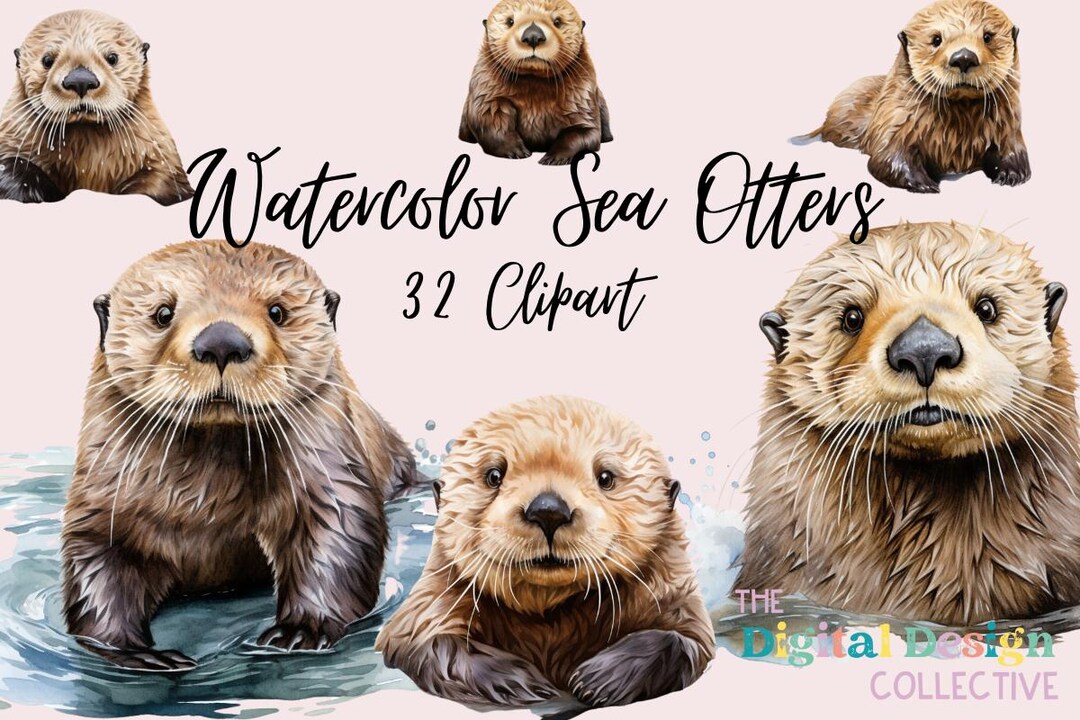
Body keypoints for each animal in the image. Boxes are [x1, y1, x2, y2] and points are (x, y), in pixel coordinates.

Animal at [62, 240, 417, 671]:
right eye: (163, 313)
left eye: (278, 312)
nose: (221, 341)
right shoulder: (106, 490)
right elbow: (100, 554)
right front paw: (135, 653)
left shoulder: (327, 461)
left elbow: (337, 531)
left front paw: (300, 631)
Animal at [376, 396, 713, 710]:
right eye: (494, 475)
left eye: (605, 478)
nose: (548, 510)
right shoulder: (437, 592)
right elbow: (422, 640)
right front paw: (518, 681)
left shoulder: (670, 588)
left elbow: (684, 640)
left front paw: (600, 678)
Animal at [459, 0, 613, 166]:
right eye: (510, 21)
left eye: (557, 22)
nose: (533, 36)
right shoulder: (486, 87)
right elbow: (488, 118)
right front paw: (517, 151)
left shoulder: (582, 95)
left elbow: (585, 130)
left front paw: (553, 157)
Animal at [801, 0, 1028, 193]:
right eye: (936, 39)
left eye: (988, 37)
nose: (964, 57)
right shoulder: (893, 123)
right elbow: (886, 158)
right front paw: (924, 184)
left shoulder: (1007, 129)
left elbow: (1016, 153)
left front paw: (1010, 173)